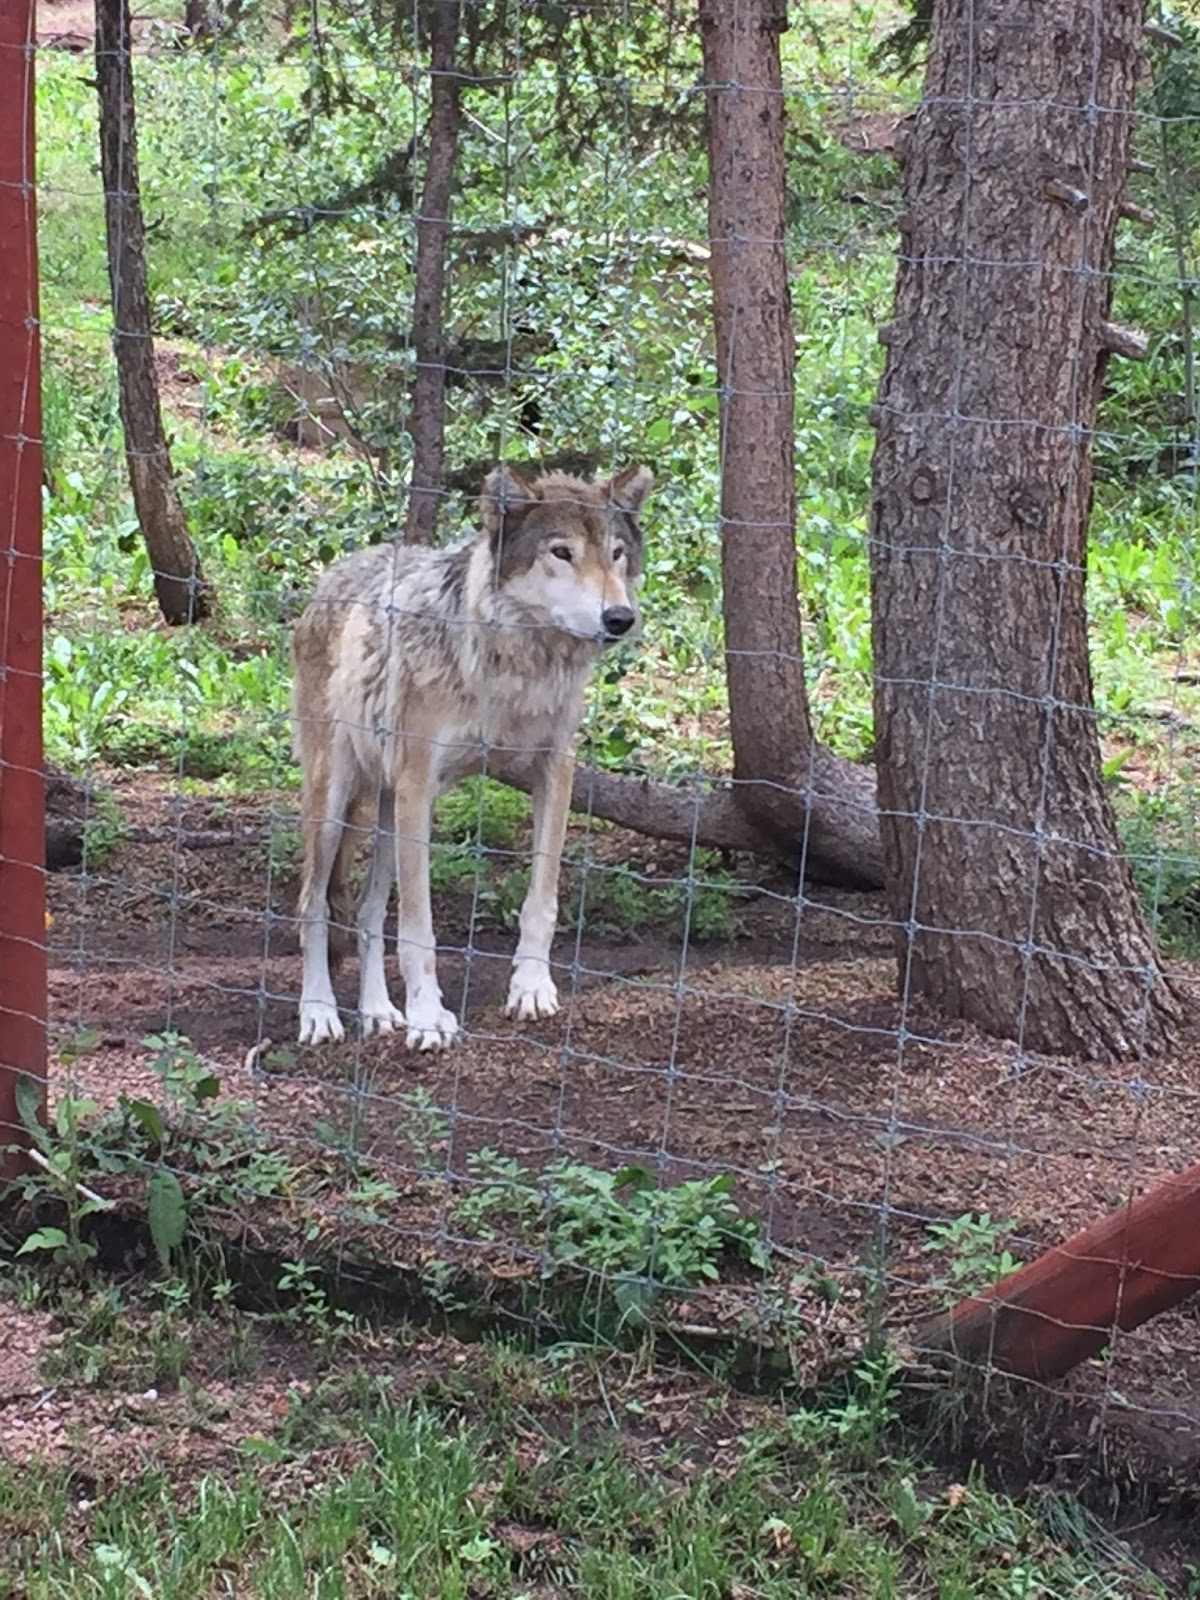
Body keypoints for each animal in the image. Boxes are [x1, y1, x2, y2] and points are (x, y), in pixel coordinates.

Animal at [290, 463, 653, 1051]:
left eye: (617, 553)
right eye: (561, 552)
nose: (619, 617)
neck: (515, 667)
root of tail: (336, 572)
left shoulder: (555, 770)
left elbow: (541, 898)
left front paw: (531, 988)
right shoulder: (420, 788)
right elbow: (418, 928)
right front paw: (428, 1018)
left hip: (387, 811)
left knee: (368, 913)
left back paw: (378, 1012)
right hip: (335, 804)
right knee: (313, 906)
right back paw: (320, 1015)